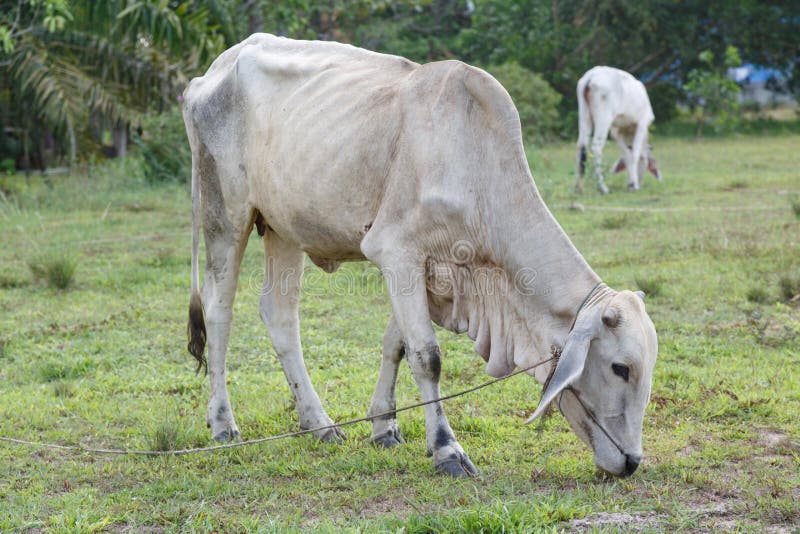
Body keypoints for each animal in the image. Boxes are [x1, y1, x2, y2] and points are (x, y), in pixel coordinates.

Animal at [183, 34, 658, 478]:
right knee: (219, 312)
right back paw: (223, 423)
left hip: (283, 227)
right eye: (620, 368)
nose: (632, 461)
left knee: (280, 317)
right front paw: (447, 448)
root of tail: (209, 73)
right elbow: (427, 357)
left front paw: (384, 426)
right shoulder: (397, 252)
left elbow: (396, 345)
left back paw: (319, 424)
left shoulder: (427, 271)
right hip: (225, 214)